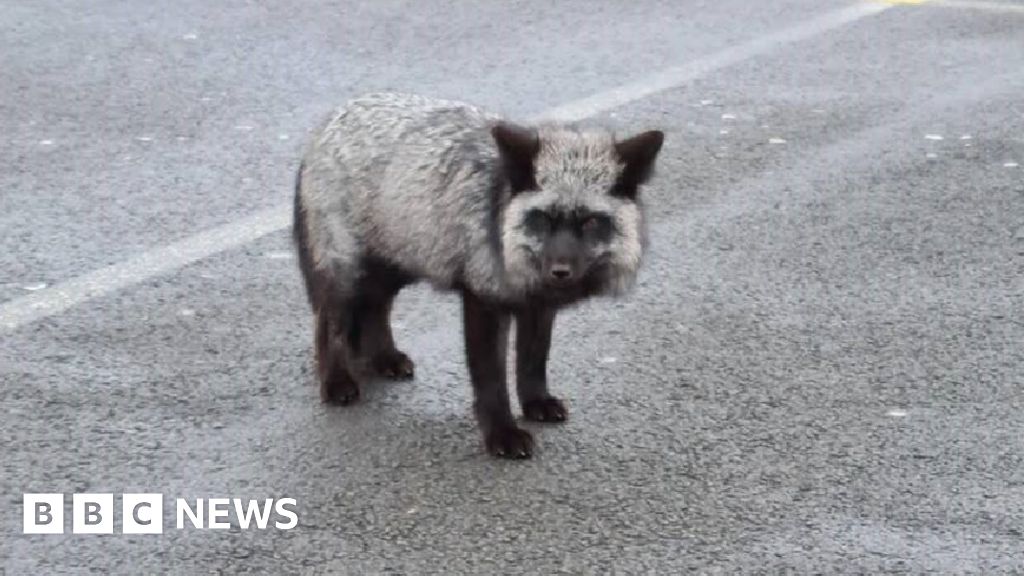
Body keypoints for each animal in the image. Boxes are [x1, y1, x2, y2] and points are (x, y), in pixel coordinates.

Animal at [293, 93, 663, 459]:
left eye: (590, 222)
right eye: (543, 218)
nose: (560, 272)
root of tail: (329, 122)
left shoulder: (538, 306)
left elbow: (532, 360)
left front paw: (536, 402)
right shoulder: (484, 300)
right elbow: (491, 378)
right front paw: (502, 433)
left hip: (396, 261)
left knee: (375, 308)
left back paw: (385, 358)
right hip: (350, 270)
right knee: (329, 322)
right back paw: (336, 381)